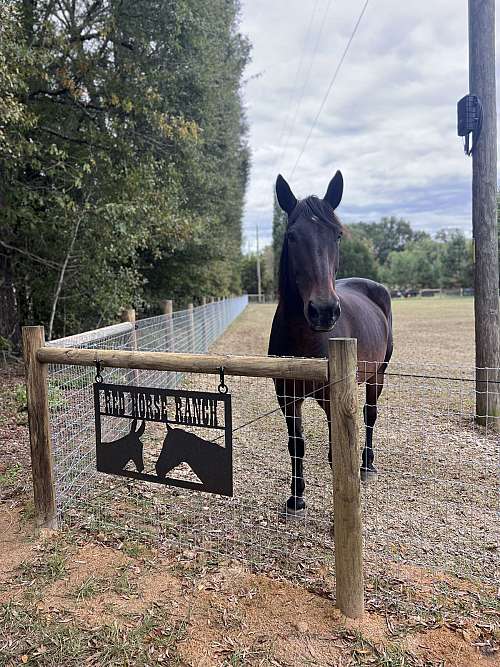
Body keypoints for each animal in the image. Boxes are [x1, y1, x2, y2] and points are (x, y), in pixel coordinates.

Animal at [268, 171, 393, 515]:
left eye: (337, 235)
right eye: (292, 236)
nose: (323, 310)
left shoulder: (332, 399)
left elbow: (336, 451)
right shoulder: (287, 397)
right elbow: (296, 444)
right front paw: (296, 497)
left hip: (377, 375)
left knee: (370, 414)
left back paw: (367, 464)